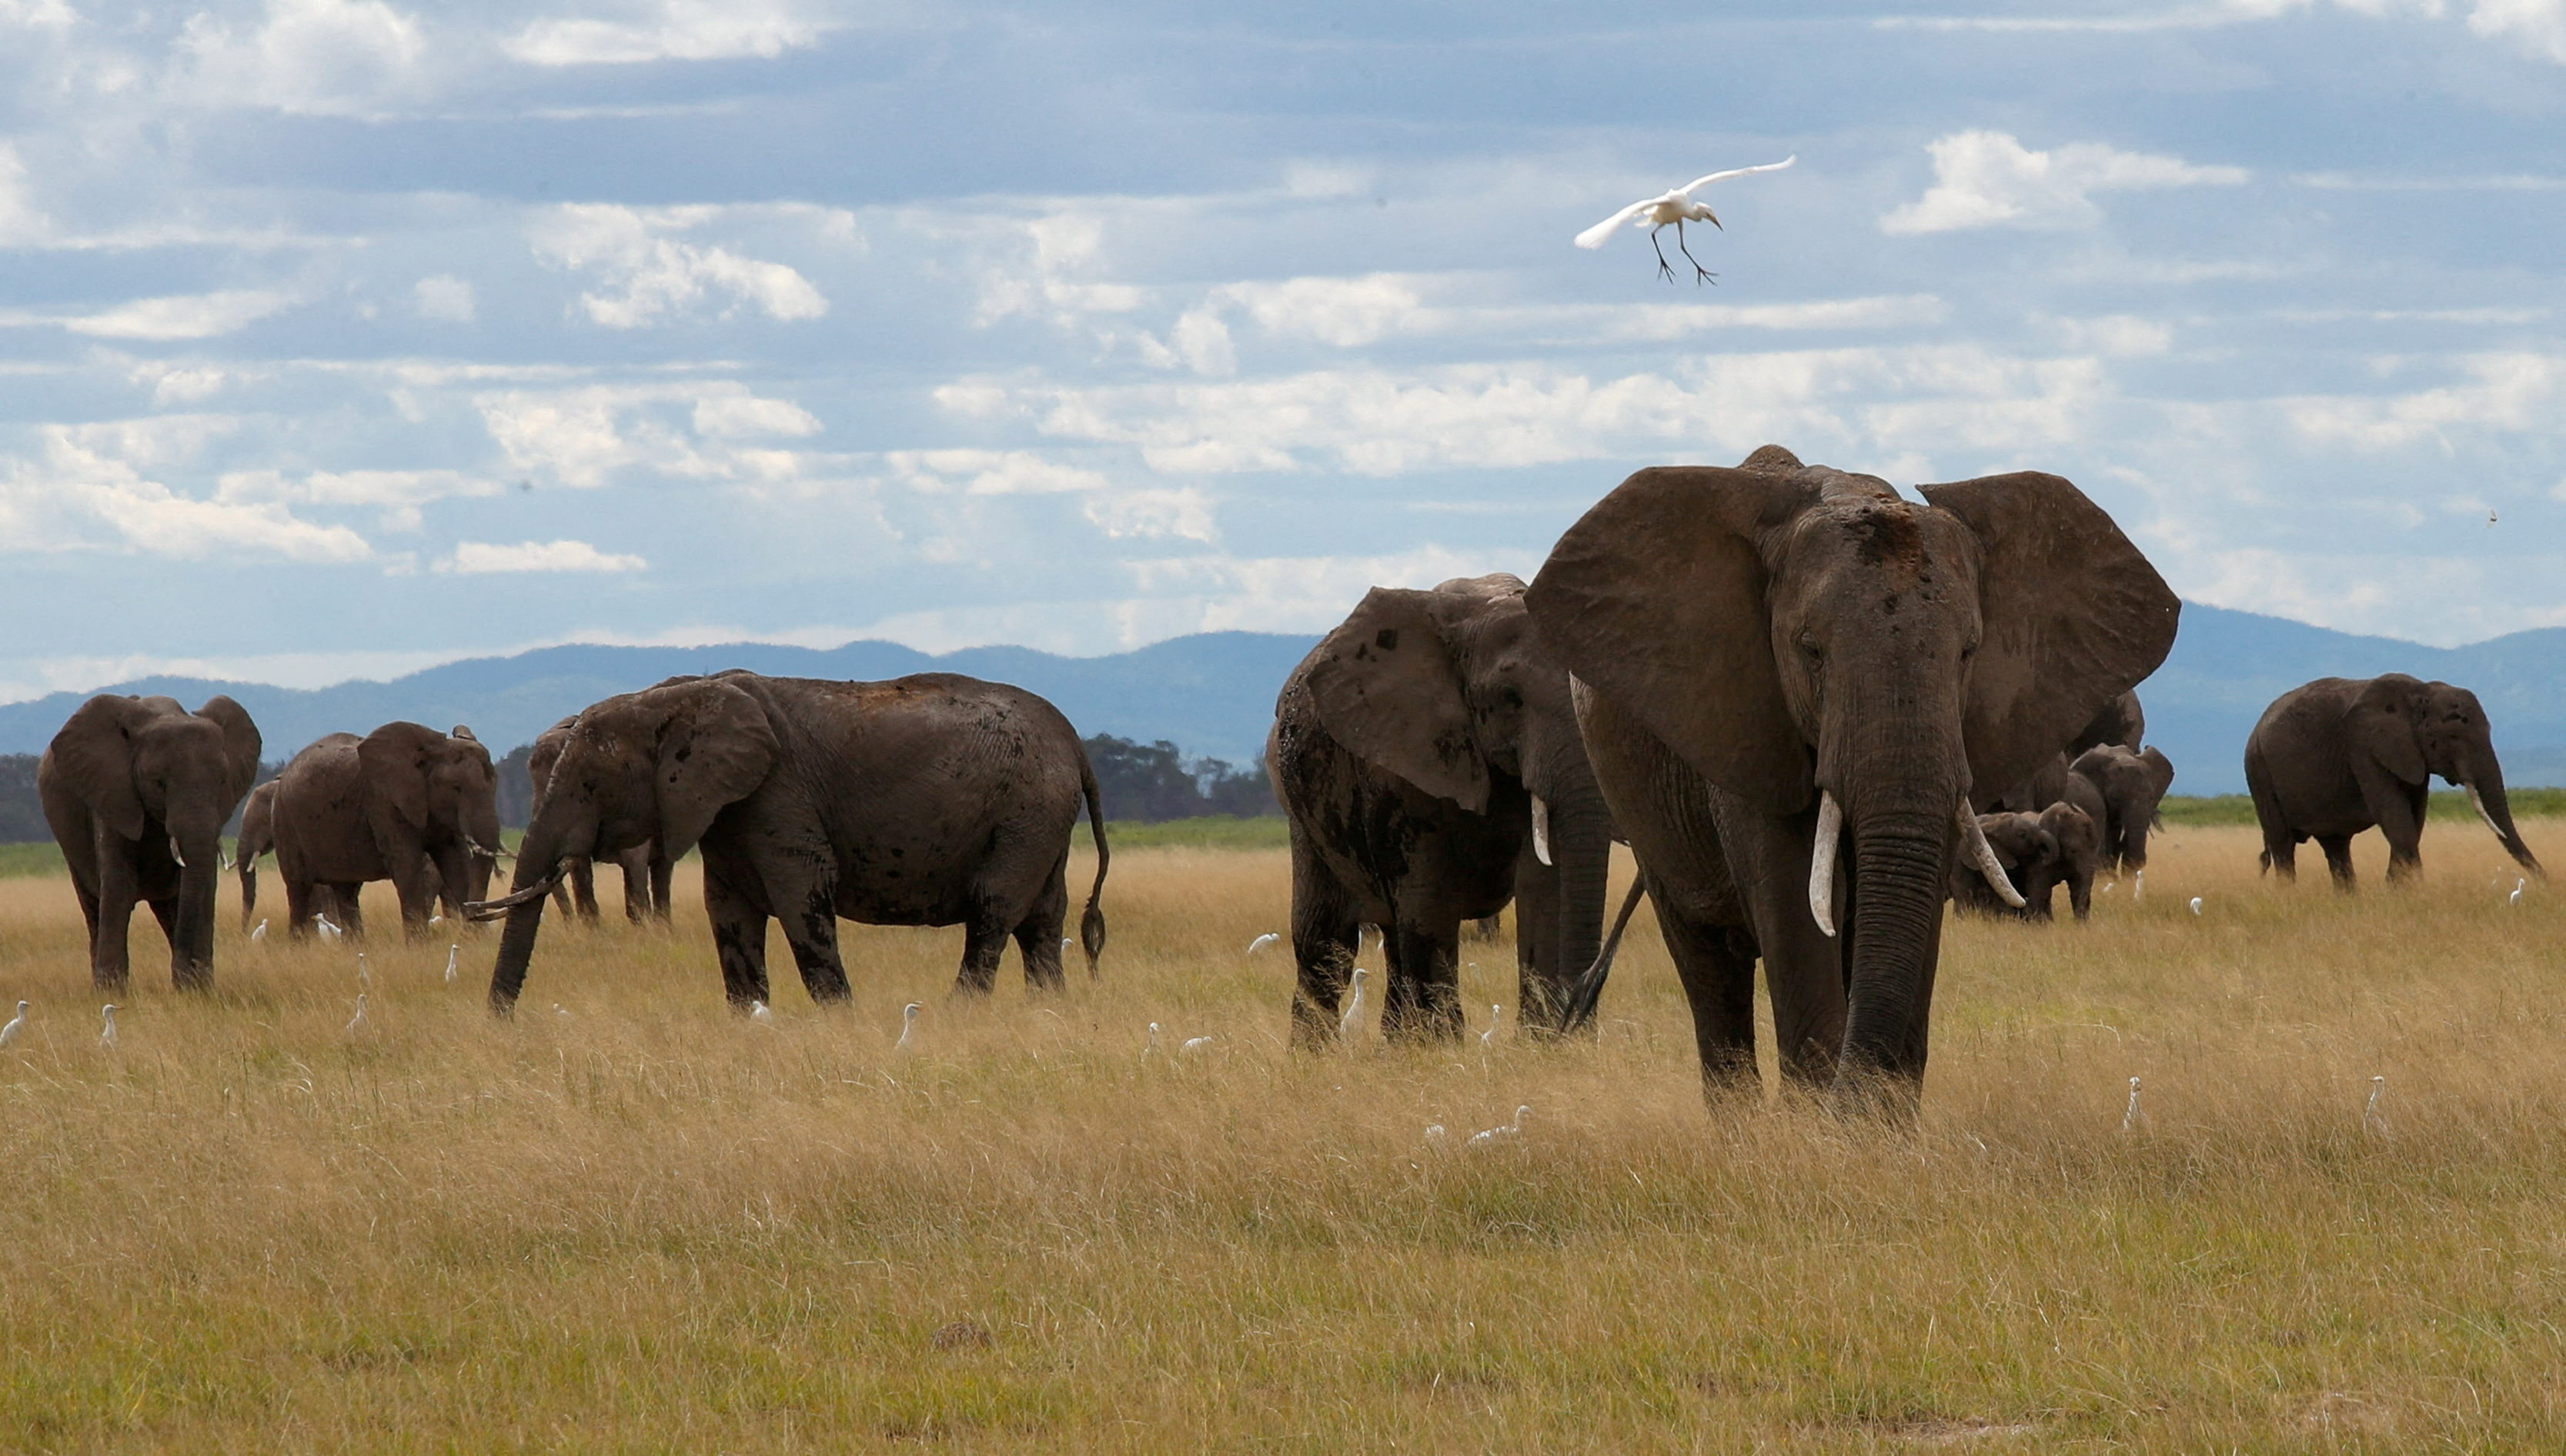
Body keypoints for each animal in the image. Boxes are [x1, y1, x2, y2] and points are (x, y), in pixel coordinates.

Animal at [40, 694, 262, 991]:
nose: (186, 974)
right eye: (159, 784)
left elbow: (204, 888)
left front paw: (198, 990)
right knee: (93, 908)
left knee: (170, 911)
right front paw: (114, 993)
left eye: (222, 781)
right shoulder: (112, 795)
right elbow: (118, 886)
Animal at [270, 722, 504, 941]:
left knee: (346, 890)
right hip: (285, 821)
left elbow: (457, 864)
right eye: (456, 787)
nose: (473, 923)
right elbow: (407, 865)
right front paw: (419, 947)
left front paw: (472, 941)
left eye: (495, 784)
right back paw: (298, 945)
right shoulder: (384, 803)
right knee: (299, 889)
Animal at [1268, 574, 1616, 1045]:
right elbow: (1429, 903)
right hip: (1302, 808)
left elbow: (1546, 888)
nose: (1577, 1023)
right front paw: (1444, 1048)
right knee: (1325, 945)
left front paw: (1541, 1043)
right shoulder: (1400, 760)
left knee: (1393, 942)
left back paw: (1395, 1046)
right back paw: (1314, 1055)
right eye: (1510, 698)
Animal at [2245, 674, 2543, 888]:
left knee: (2336, 846)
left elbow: (2415, 816)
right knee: (2283, 842)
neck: (2421, 693)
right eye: (2454, 736)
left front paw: (2396, 888)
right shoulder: (2365, 747)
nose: (2546, 882)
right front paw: (2411, 891)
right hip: (2259, 769)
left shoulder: (2412, 755)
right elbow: (2393, 814)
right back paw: (2289, 895)